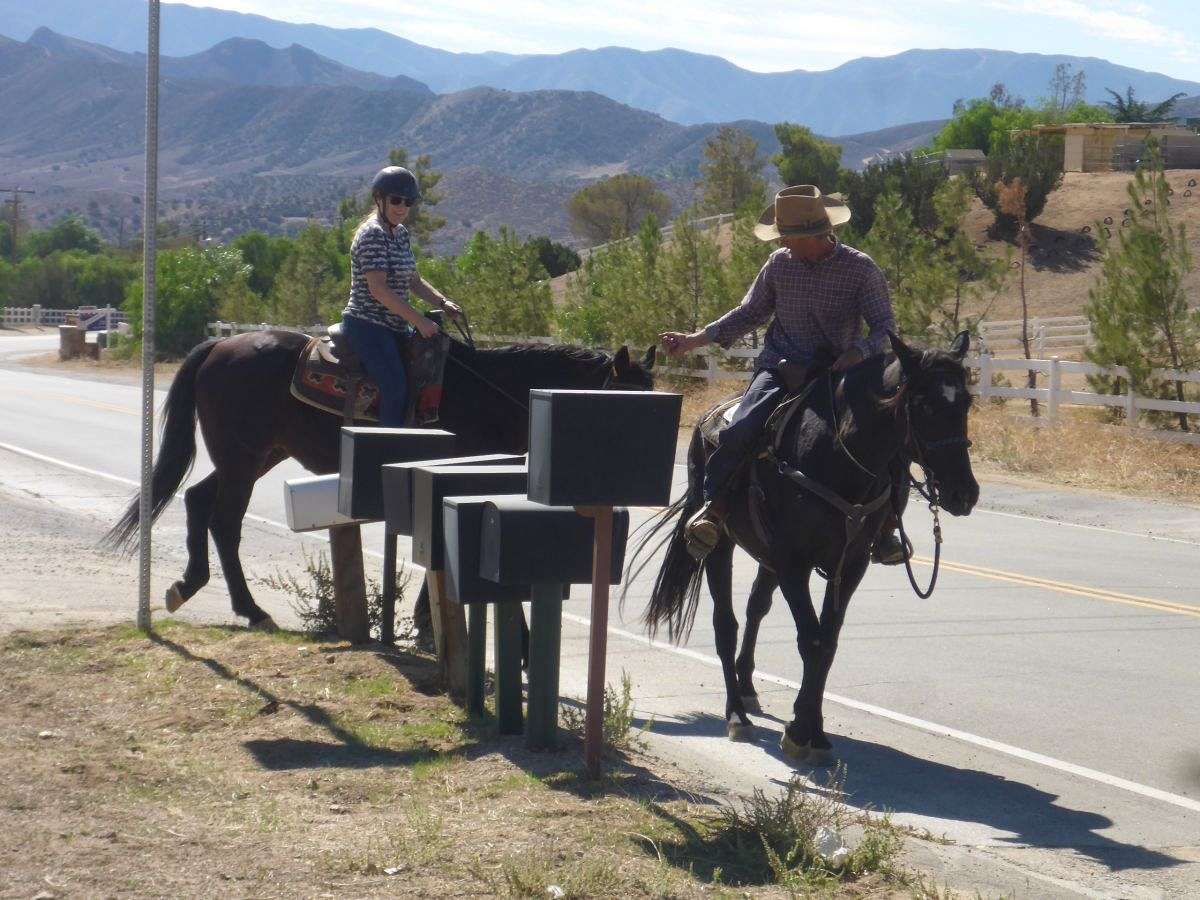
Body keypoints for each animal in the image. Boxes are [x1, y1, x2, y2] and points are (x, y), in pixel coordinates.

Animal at [104, 329, 656, 629]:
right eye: (622, 400)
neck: (493, 395)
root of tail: (221, 344)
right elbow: (440, 550)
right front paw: (428, 623)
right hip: (244, 459)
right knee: (224, 522)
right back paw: (250, 608)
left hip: (256, 457)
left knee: (198, 501)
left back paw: (189, 584)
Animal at [639, 331, 978, 765]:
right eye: (923, 404)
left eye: (965, 402)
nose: (964, 493)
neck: (836, 456)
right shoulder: (793, 564)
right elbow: (811, 640)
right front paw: (800, 732)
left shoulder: (849, 566)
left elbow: (827, 642)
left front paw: (813, 728)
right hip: (722, 546)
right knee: (725, 624)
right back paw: (736, 715)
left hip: (766, 558)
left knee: (756, 607)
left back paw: (747, 686)